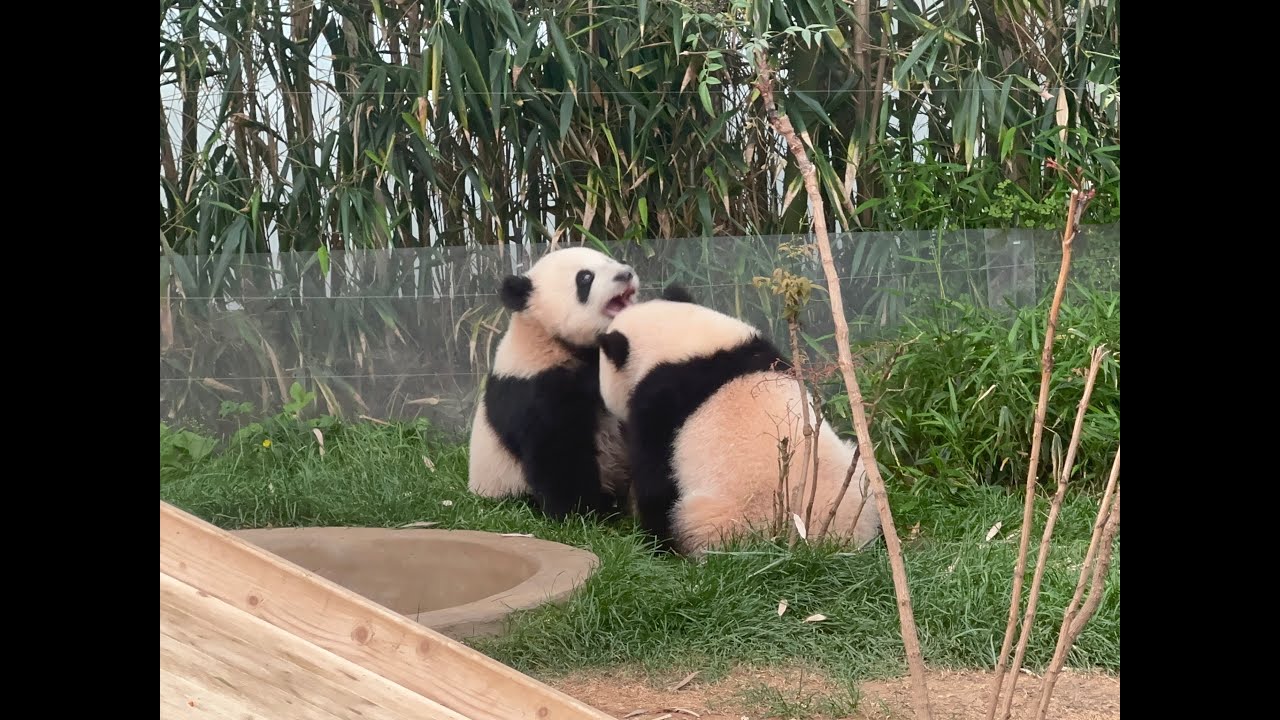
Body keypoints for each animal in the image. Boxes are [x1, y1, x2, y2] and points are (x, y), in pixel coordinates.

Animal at [467, 246, 641, 520]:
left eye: (613, 260)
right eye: (585, 278)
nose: (626, 274)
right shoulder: (536, 386)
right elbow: (559, 453)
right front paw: (582, 512)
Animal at [595, 285, 882, 557]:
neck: (686, 346)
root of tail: (827, 541)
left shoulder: (658, 405)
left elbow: (655, 482)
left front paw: (654, 542)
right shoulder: (762, 351)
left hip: (726, 519)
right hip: (857, 480)